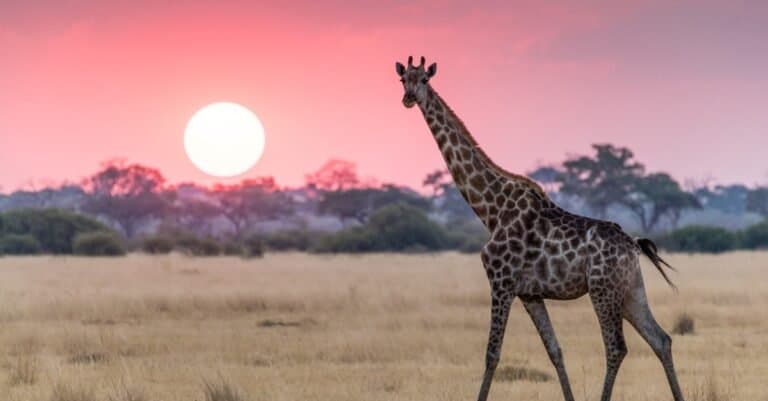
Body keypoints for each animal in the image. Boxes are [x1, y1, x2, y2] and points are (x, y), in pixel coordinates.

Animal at [395, 56, 685, 401]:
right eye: (403, 79)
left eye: (424, 79)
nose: (408, 98)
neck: (491, 210)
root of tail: (632, 245)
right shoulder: (530, 294)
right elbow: (555, 350)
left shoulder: (502, 282)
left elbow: (492, 354)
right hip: (630, 290)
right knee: (661, 339)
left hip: (602, 289)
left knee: (617, 348)